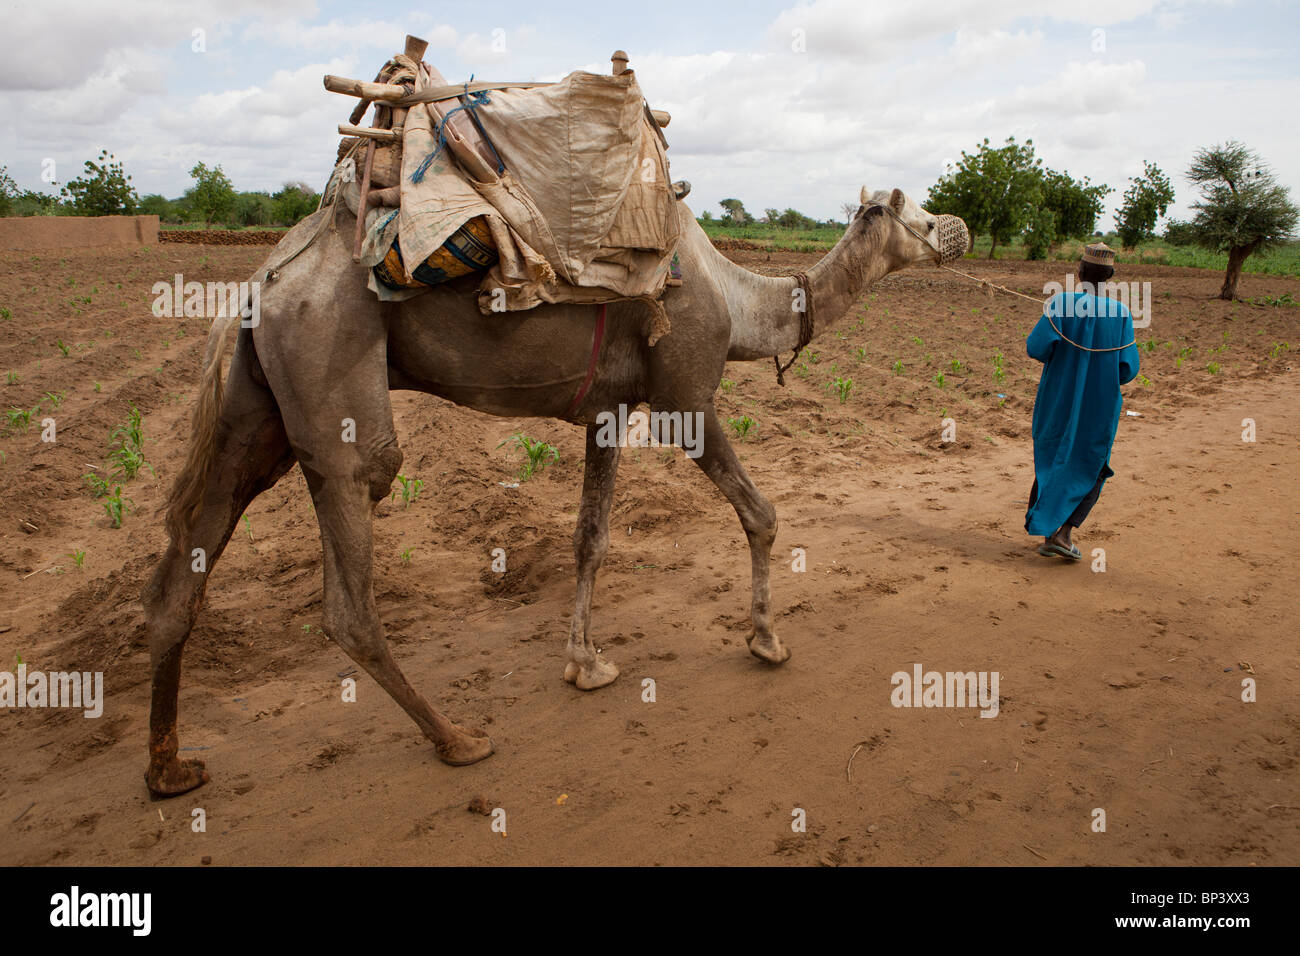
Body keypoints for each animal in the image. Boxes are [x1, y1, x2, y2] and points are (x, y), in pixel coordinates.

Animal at [141, 185, 965, 796]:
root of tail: (259, 283)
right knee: (350, 578)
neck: (739, 305)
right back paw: (458, 739)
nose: (957, 230)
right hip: (329, 377)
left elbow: (590, 538)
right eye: (918, 213)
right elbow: (760, 514)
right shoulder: (685, 397)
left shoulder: (608, 409)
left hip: (255, 412)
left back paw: (170, 769)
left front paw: (585, 664)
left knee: (185, 569)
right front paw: (766, 640)